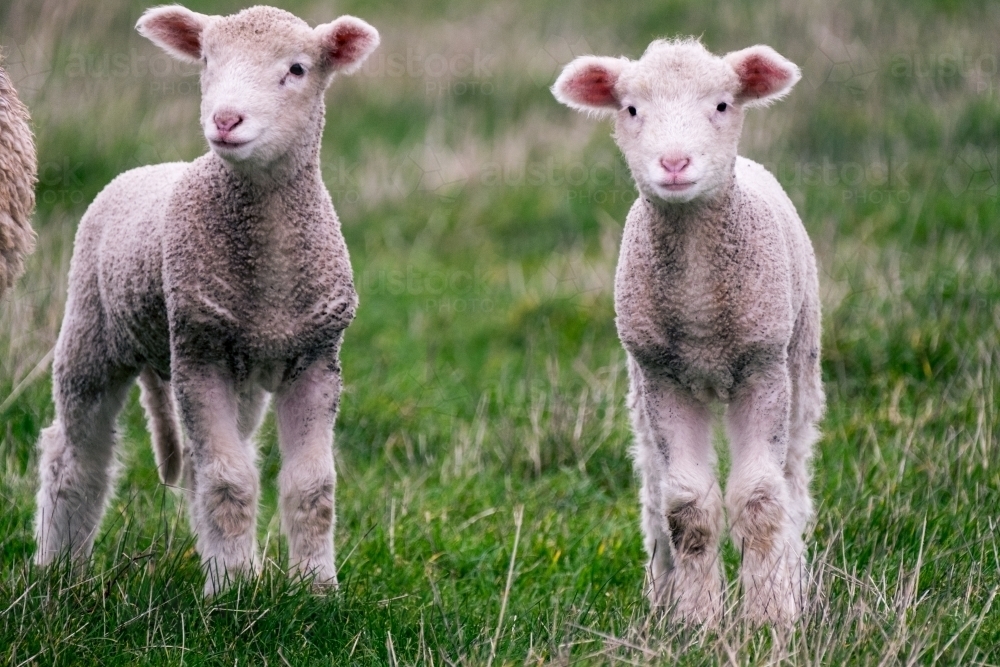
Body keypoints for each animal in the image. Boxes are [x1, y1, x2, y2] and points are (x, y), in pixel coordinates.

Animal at [33, 4, 379, 596]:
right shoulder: (200, 352)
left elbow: (312, 487)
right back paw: (58, 570)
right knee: (75, 455)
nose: (226, 120)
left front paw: (316, 589)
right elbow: (230, 480)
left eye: (297, 69)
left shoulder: (315, 358)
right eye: (207, 61)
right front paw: (233, 591)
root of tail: (148, 169)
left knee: (200, 461)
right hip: (92, 332)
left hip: (242, 379)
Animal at [553, 39, 824, 625]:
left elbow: (760, 501)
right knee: (654, 492)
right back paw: (661, 593)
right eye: (631, 109)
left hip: (799, 359)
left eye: (722, 105)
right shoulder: (663, 378)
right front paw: (698, 621)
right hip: (640, 392)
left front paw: (769, 616)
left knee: (793, 480)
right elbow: (688, 508)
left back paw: (794, 582)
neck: (700, 307)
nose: (674, 163)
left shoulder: (761, 369)